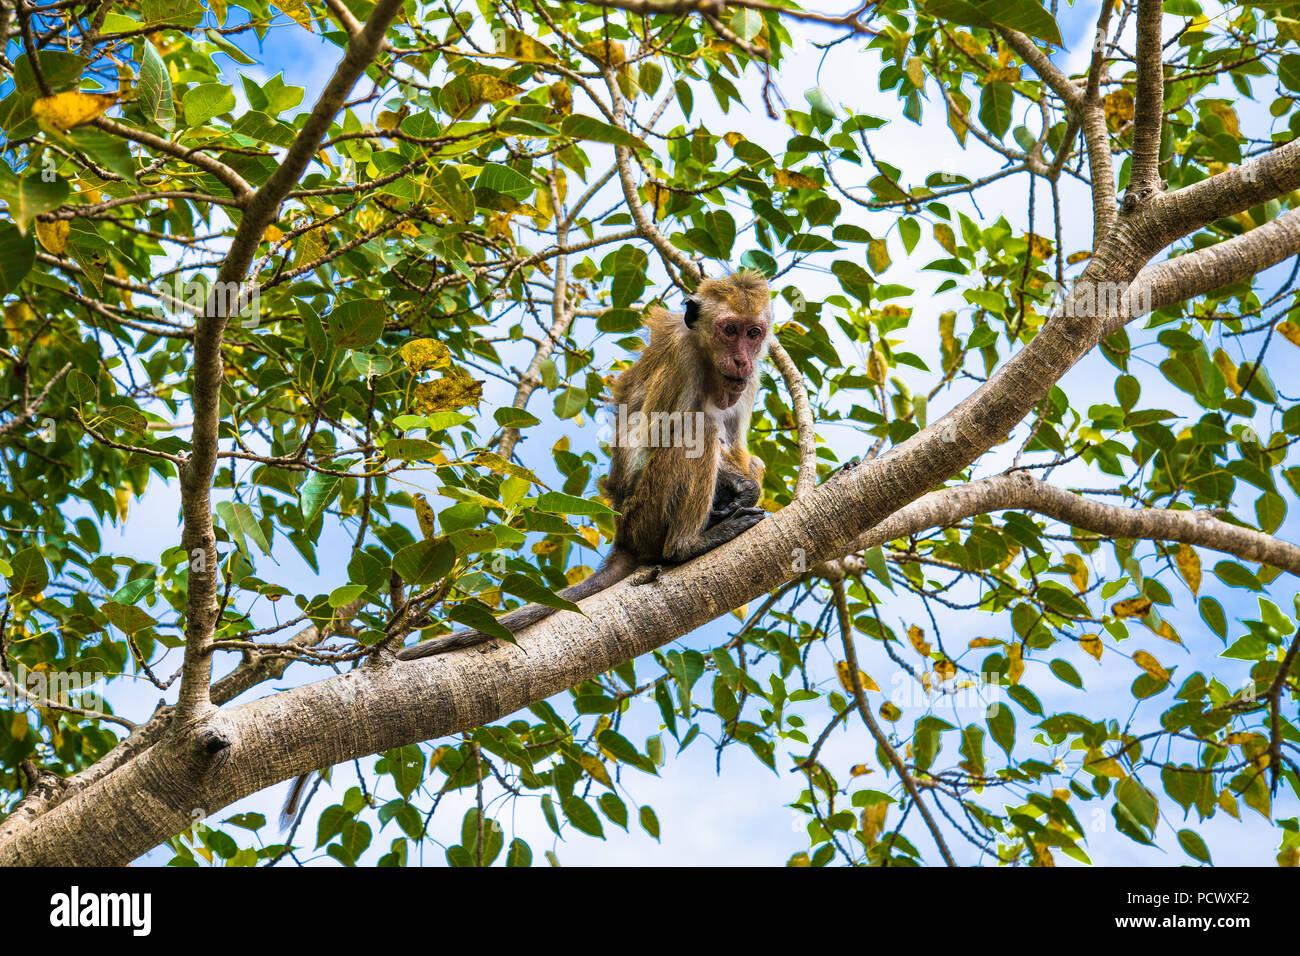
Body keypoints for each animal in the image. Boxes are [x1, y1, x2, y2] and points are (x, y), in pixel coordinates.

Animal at [393, 270, 774, 661]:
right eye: (729, 330)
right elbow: (651, 443)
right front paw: (738, 487)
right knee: (696, 431)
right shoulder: (681, 359)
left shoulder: (750, 379)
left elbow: (740, 448)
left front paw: (745, 486)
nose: (742, 360)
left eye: (753, 333)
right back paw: (686, 545)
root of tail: (623, 535)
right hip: (645, 516)